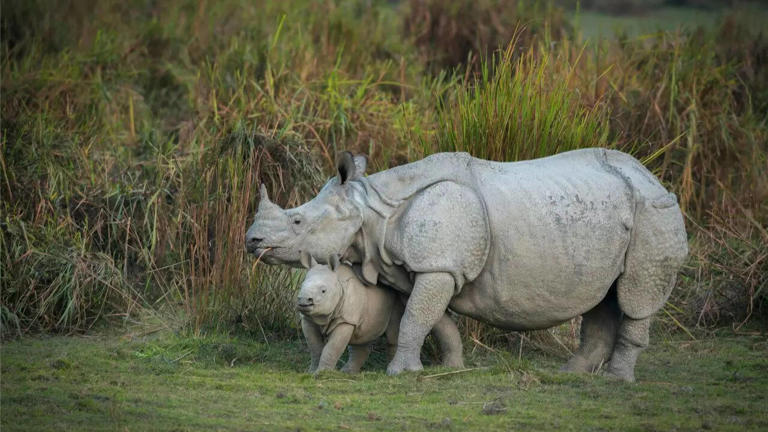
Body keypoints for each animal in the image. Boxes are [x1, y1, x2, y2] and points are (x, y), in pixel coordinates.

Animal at [246, 148, 688, 381]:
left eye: (297, 221)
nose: (252, 241)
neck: (371, 207)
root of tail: (653, 177)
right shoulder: (421, 269)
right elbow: (435, 319)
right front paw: (451, 366)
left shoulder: (438, 265)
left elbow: (416, 317)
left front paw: (400, 374)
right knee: (604, 294)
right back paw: (571, 374)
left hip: (654, 213)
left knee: (636, 297)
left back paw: (616, 379)